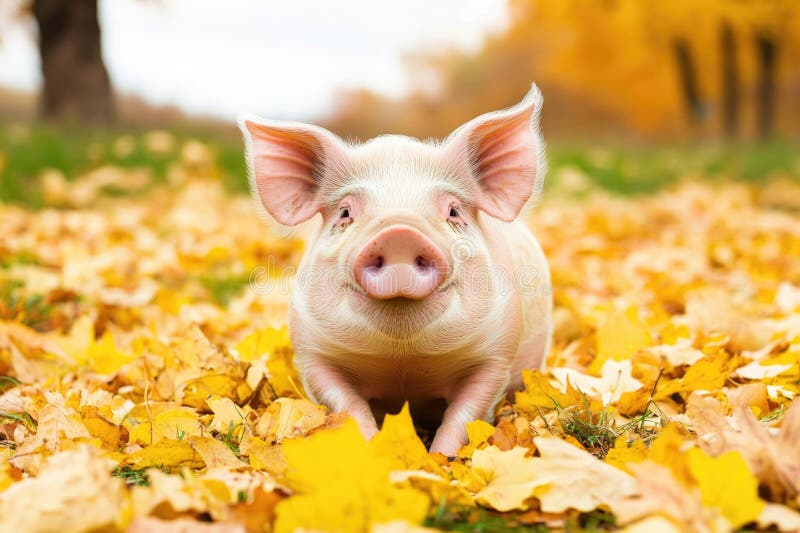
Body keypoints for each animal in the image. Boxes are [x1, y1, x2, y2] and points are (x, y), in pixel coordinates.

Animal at [239, 83, 552, 455]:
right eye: (345, 212)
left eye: (453, 211)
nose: (399, 233)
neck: (403, 363)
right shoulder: (314, 354)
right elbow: (348, 406)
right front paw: (375, 453)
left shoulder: (496, 356)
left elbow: (465, 416)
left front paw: (439, 459)